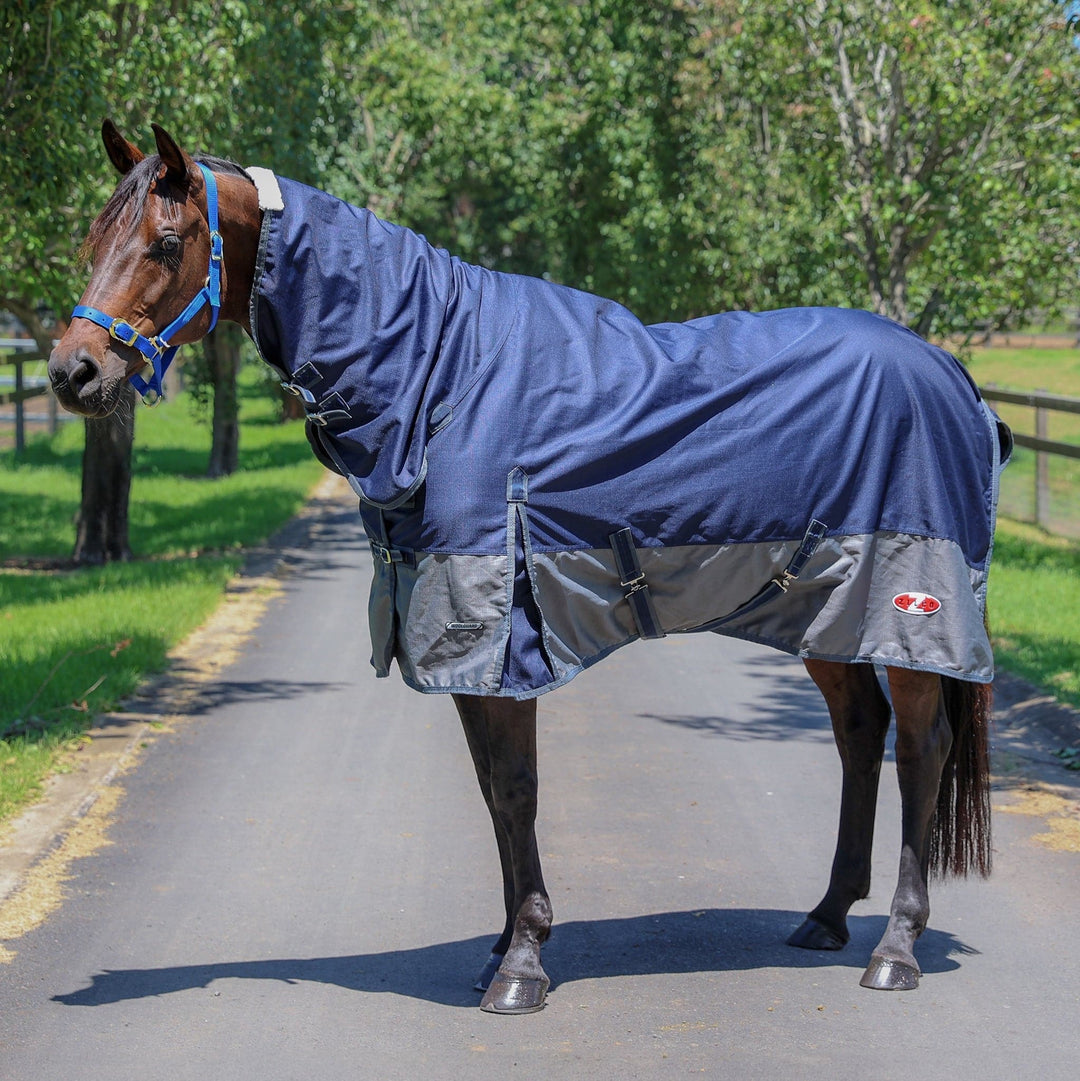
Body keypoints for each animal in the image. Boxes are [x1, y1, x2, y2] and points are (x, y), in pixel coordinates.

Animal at [49, 121, 1009, 1014]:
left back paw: (896, 946)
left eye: (165, 242)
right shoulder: (458, 645)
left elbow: (515, 791)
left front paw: (521, 963)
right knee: (859, 734)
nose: (71, 372)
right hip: (828, 612)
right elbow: (491, 791)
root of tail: (953, 373)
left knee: (920, 746)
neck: (442, 376)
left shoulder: (496, 636)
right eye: (95, 244)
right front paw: (503, 945)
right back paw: (826, 914)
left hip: (907, 608)